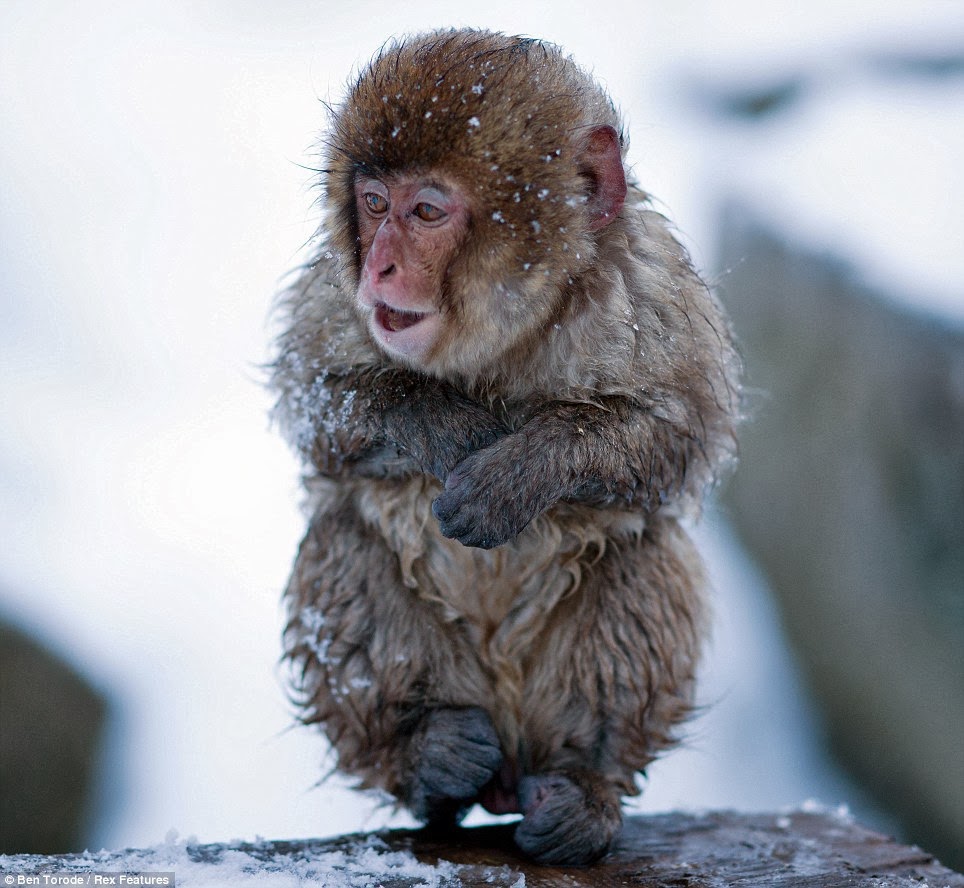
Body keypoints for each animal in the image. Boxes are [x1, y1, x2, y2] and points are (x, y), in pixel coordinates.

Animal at [271, 29, 741, 865]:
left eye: (427, 210)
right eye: (373, 204)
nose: (380, 265)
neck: (500, 337)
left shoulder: (648, 285)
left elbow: (684, 429)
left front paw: (519, 472)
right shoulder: (336, 293)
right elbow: (310, 393)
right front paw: (443, 425)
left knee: (645, 554)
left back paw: (583, 786)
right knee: (343, 535)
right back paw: (426, 757)